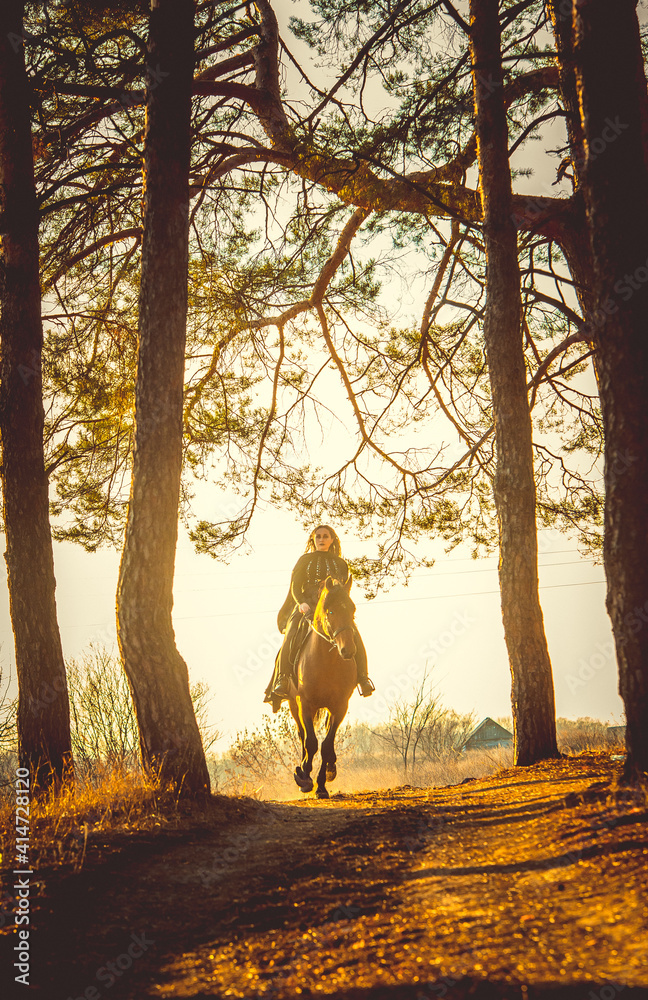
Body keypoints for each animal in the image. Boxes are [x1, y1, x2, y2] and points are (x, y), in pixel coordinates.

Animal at [288, 575, 358, 799]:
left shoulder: (340, 706)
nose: (348, 650)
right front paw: (304, 777)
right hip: (294, 705)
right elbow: (310, 742)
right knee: (302, 735)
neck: (326, 662)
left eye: (352, 610)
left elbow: (326, 745)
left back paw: (330, 768)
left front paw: (321, 785)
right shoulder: (305, 704)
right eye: (331, 611)